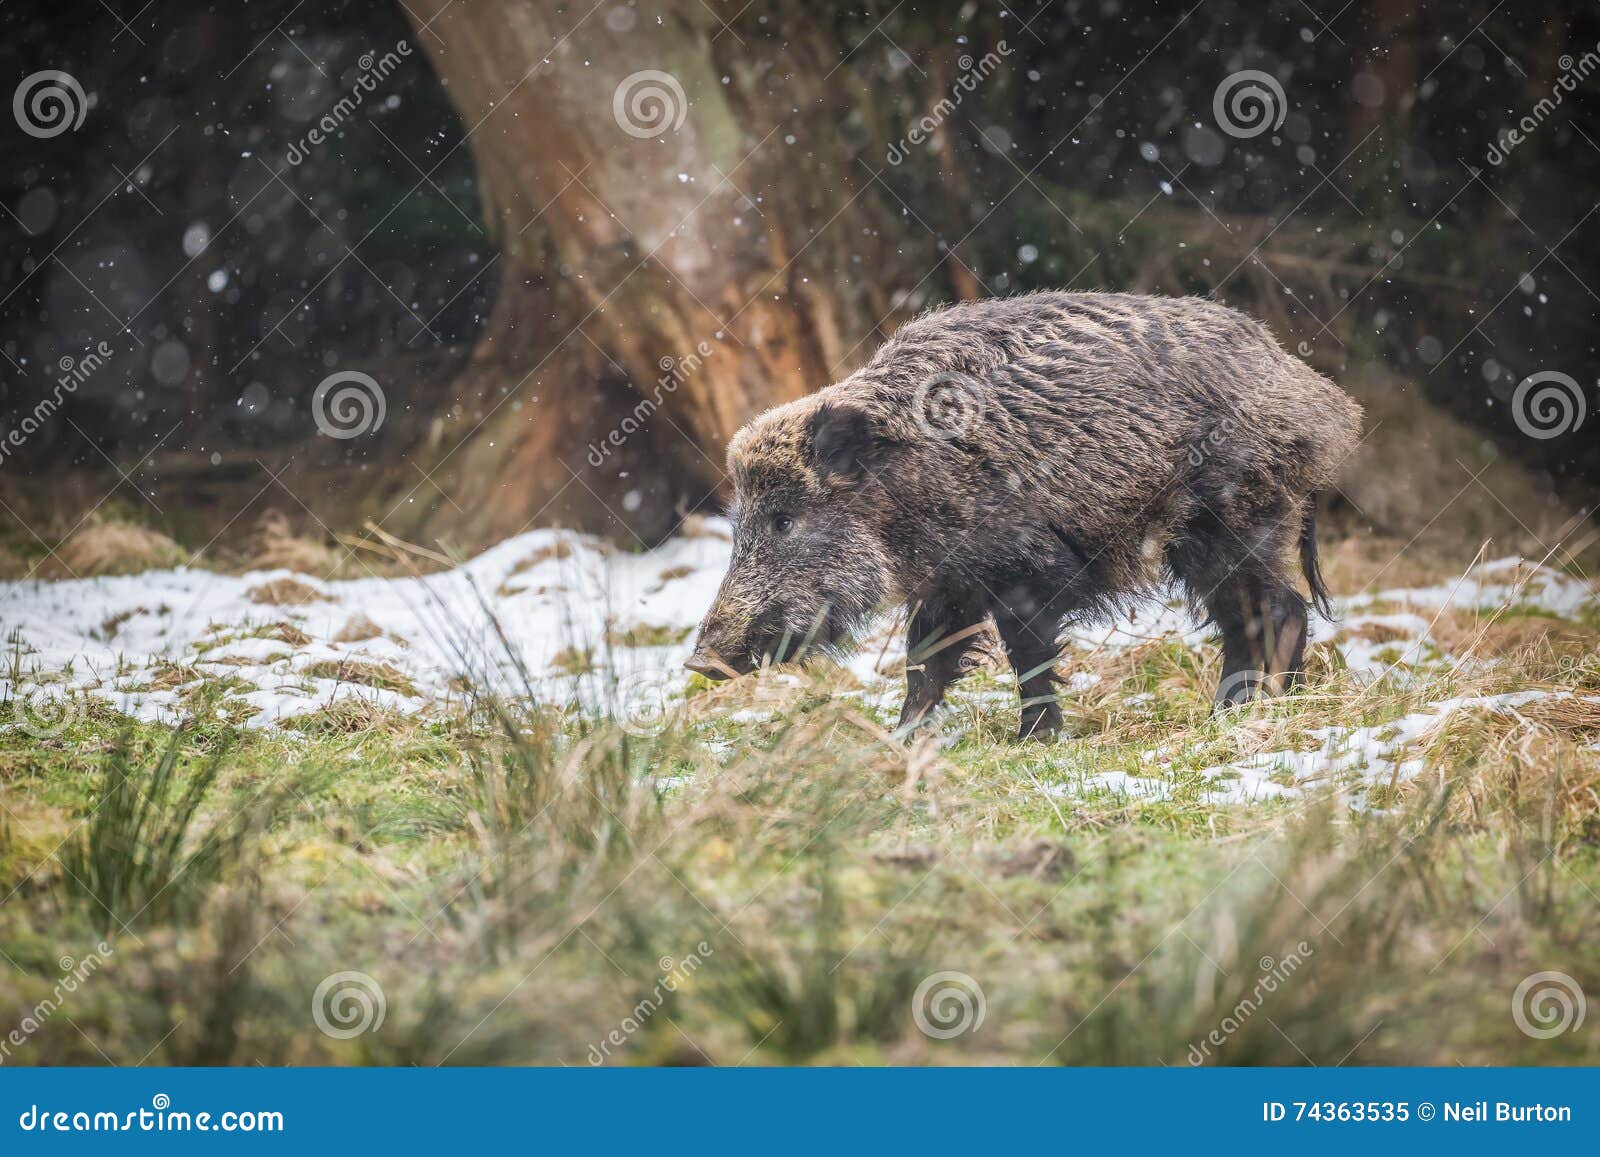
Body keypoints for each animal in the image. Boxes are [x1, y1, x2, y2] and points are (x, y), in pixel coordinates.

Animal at [686, 291, 1363, 740]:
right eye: (739, 523)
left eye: (785, 519)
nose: (699, 661)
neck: (907, 486)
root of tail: (1324, 404)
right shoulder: (952, 581)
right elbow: (925, 658)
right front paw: (902, 741)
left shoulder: (1027, 568)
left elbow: (1025, 653)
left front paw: (1034, 740)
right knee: (1249, 617)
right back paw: (1238, 710)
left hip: (1223, 524)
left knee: (1280, 607)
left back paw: (1248, 711)